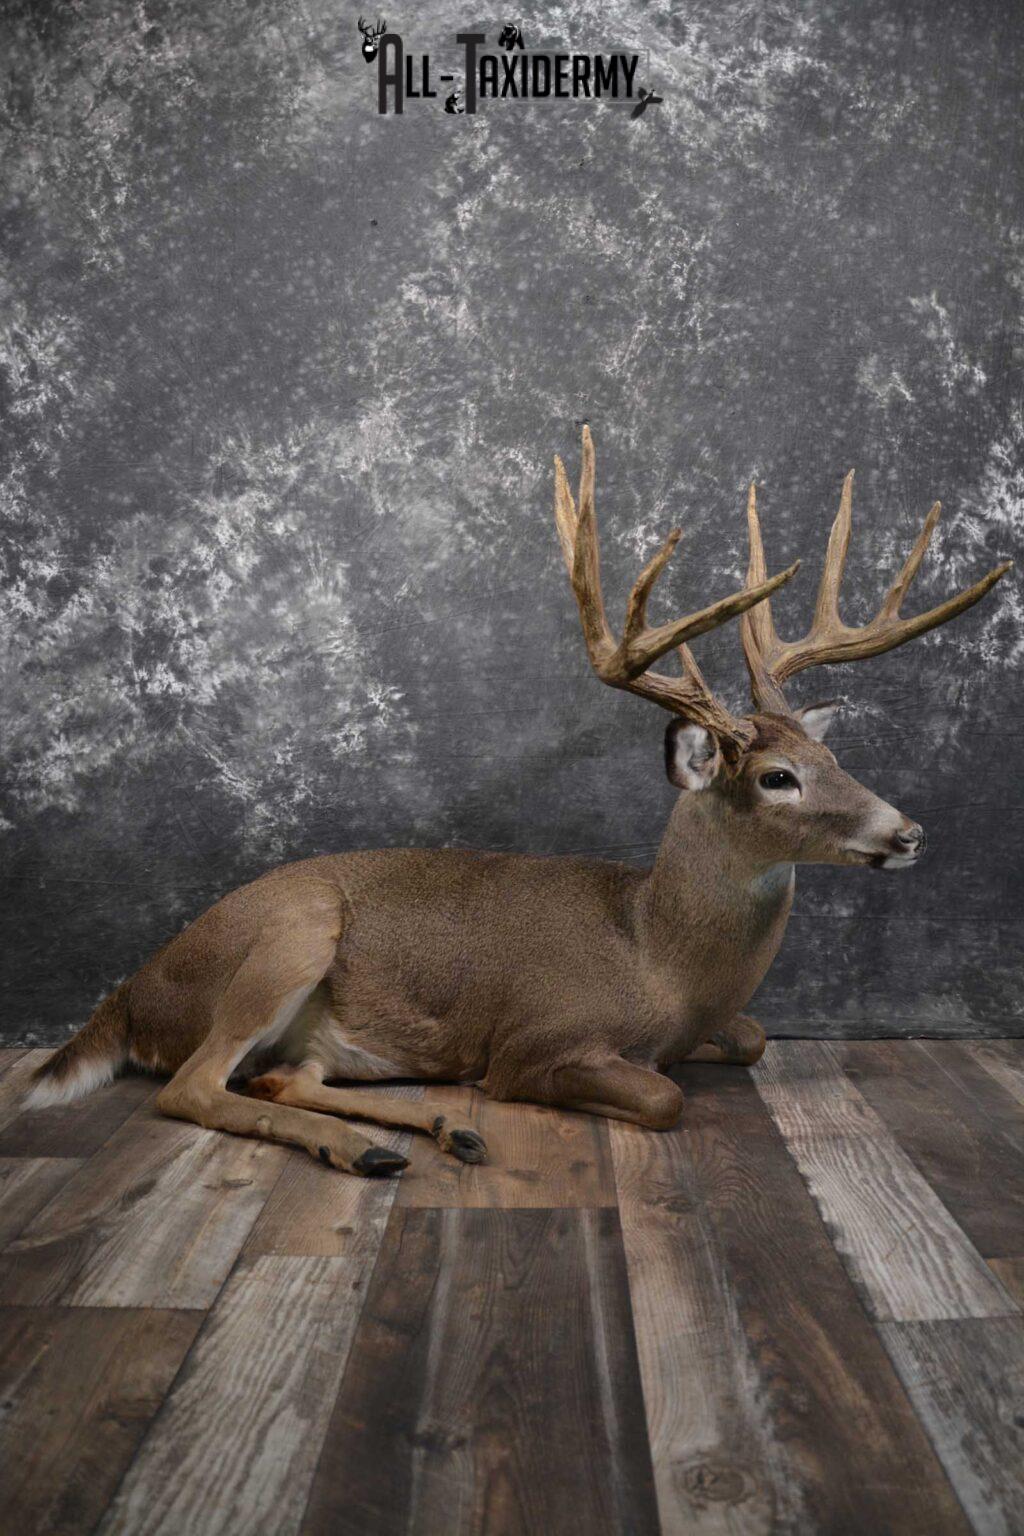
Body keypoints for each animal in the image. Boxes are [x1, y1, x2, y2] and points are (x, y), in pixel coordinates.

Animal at [25, 429, 1010, 1176]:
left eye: (829, 755)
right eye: (776, 777)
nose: (908, 832)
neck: (658, 958)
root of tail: (129, 998)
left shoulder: (716, 1023)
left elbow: (758, 1036)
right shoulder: (536, 1042)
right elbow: (663, 1095)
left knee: (281, 1077)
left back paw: (425, 1132)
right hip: (288, 932)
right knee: (192, 1086)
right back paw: (372, 1145)